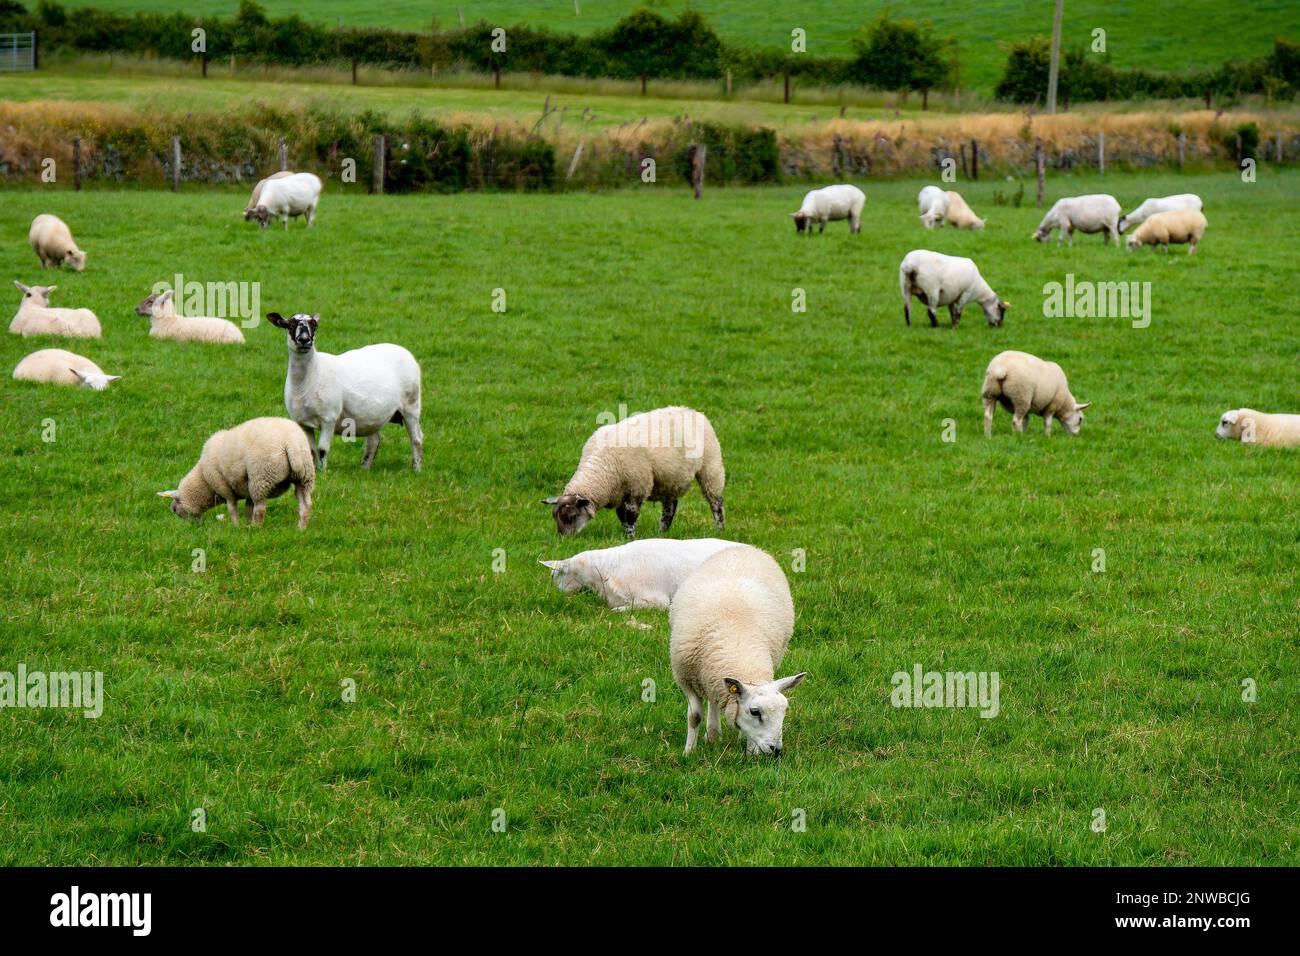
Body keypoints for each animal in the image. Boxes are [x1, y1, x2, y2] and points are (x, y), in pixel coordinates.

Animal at [158, 417, 315, 529]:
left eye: (174, 509)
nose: (189, 528)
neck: (204, 481)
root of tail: (291, 443)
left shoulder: (224, 487)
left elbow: (232, 508)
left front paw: (236, 527)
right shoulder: (247, 487)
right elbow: (248, 507)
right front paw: (246, 524)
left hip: (260, 476)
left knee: (260, 508)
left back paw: (256, 528)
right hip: (305, 476)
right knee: (305, 504)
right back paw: (301, 528)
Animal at [267, 311, 423, 472]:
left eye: (314, 325)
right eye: (290, 325)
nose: (304, 340)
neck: (311, 375)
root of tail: (404, 351)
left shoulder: (329, 417)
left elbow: (322, 450)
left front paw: (323, 472)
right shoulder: (302, 422)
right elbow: (311, 451)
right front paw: (314, 472)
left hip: (411, 404)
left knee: (416, 438)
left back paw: (416, 468)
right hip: (374, 414)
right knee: (374, 440)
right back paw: (365, 469)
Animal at [543, 406, 725, 539]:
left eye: (572, 516)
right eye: (554, 516)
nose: (563, 539)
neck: (602, 466)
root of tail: (692, 411)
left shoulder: (636, 488)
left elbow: (631, 516)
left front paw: (630, 537)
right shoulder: (619, 493)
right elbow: (622, 516)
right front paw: (626, 535)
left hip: (711, 468)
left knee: (716, 503)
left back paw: (720, 529)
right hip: (668, 478)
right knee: (670, 507)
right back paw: (661, 533)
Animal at [669, 544, 804, 756]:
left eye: (785, 711)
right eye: (755, 712)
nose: (776, 750)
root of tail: (747, 547)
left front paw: (751, 751)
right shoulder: (686, 678)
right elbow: (695, 716)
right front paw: (688, 752)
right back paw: (713, 735)